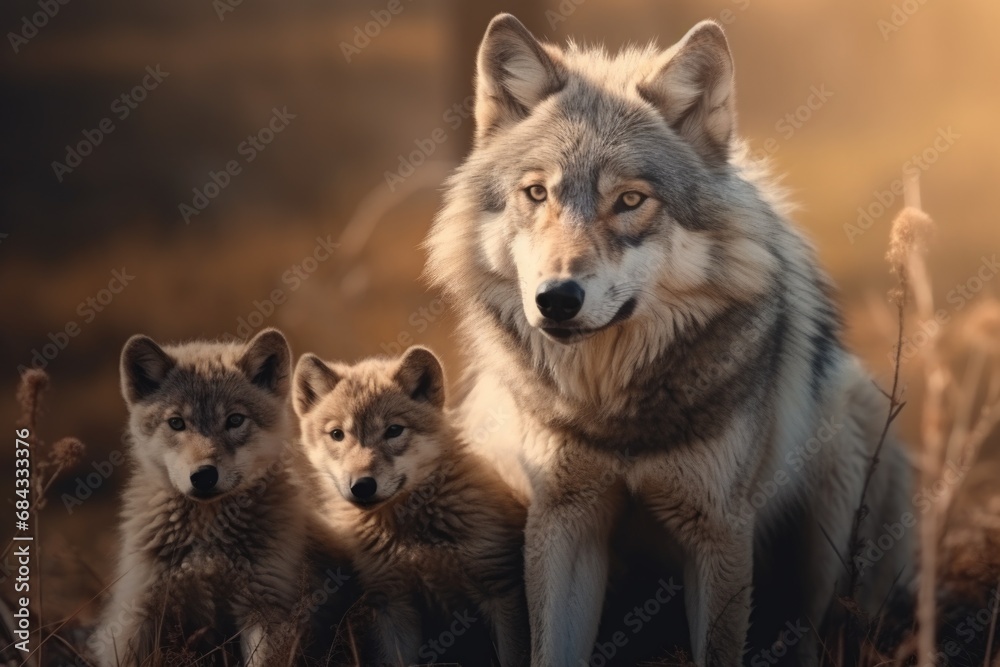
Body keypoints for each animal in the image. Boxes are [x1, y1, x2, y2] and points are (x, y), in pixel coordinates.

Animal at [92, 328, 307, 667]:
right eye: (177, 423)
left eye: (235, 420)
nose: (204, 475)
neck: (206, 544)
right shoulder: (138, 614)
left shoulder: (263, 611)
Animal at [292, 345, 529, 667]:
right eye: (337, 434)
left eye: (394, 430)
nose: (362, 485)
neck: (410, 536)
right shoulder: (392, 606)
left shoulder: (500, 590)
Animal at [424, 14, 914, 667]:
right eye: (537, 194)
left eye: (630, 200)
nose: (557, 298)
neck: (612, 412)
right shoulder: (564, 520)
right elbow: (552, 647)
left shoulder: (718, 530)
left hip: (841, 454)